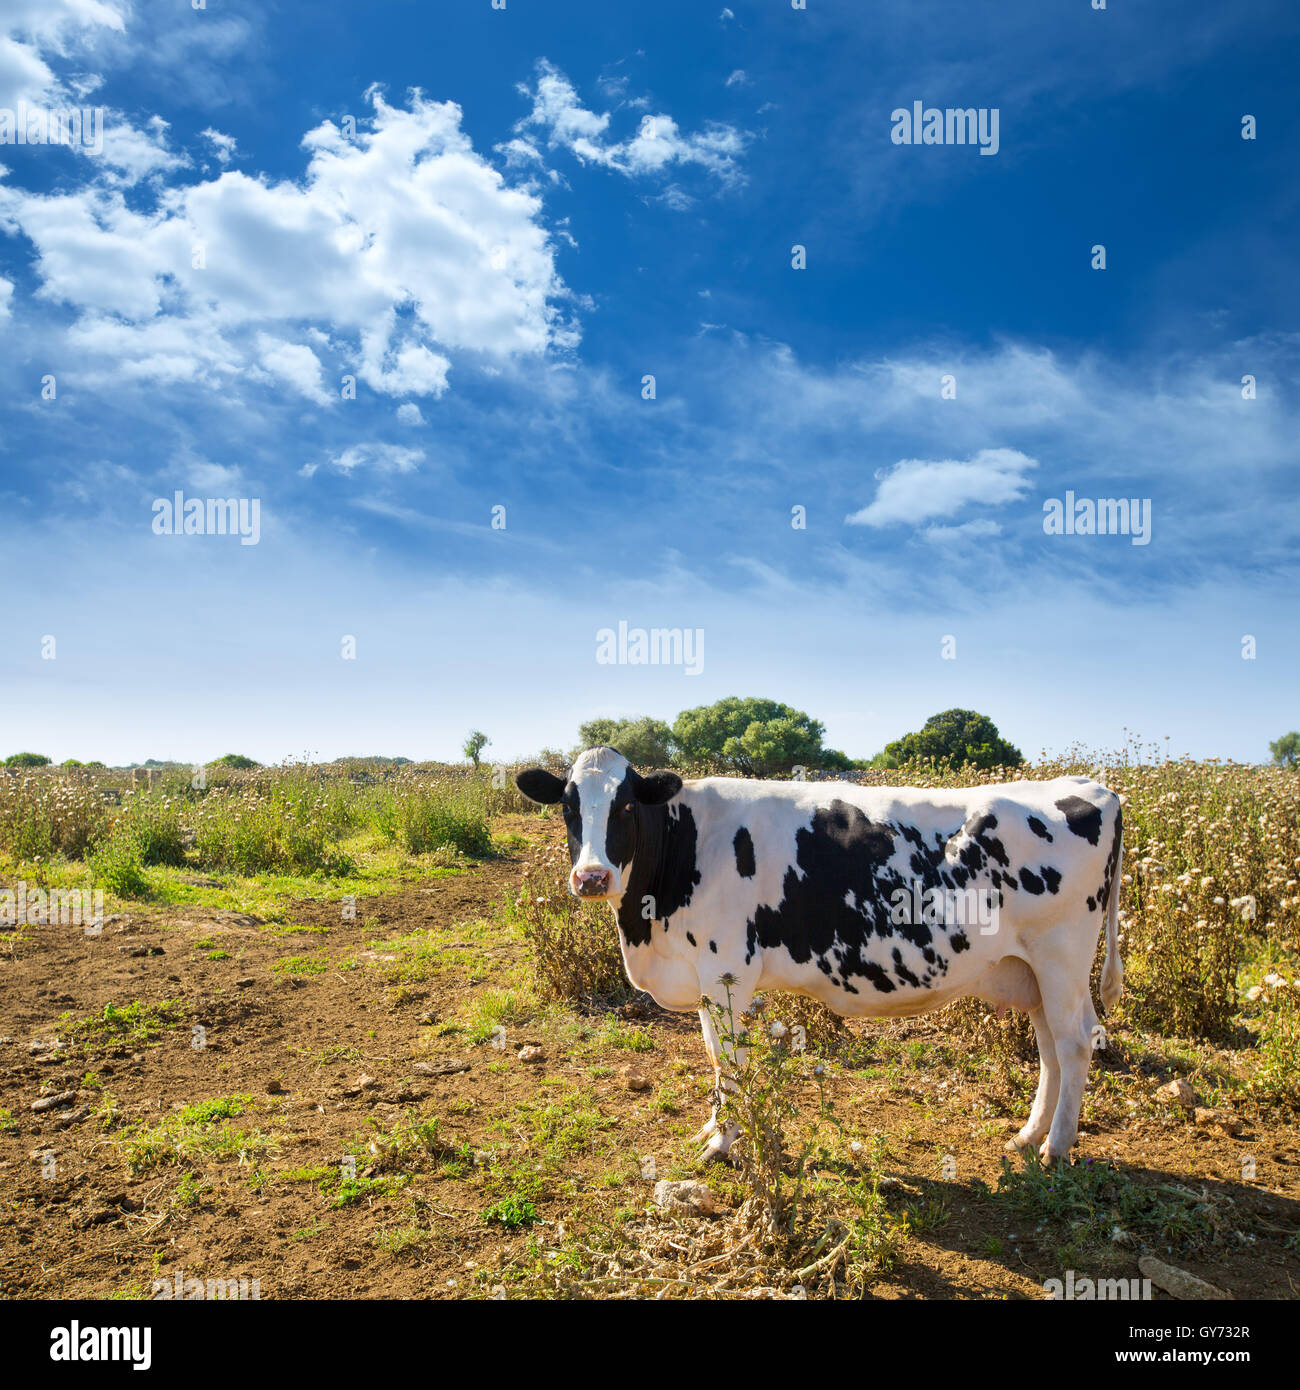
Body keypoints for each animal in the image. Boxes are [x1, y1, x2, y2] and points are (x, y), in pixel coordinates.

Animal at [516, 746, 1123, 1165]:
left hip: (1063, 958)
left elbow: (731, 1062)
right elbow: (715, 1057)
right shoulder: (703, 980)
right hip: (1032, 971)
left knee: (1073, 1043)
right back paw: (1027, 1135)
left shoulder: (727, 971)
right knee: (1048, 1045)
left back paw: (1057, 1147)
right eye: (568, 807)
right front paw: (713, 1129)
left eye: (624, 806)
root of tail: (1092, 788)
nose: (591, 877)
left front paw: (725, 1141)